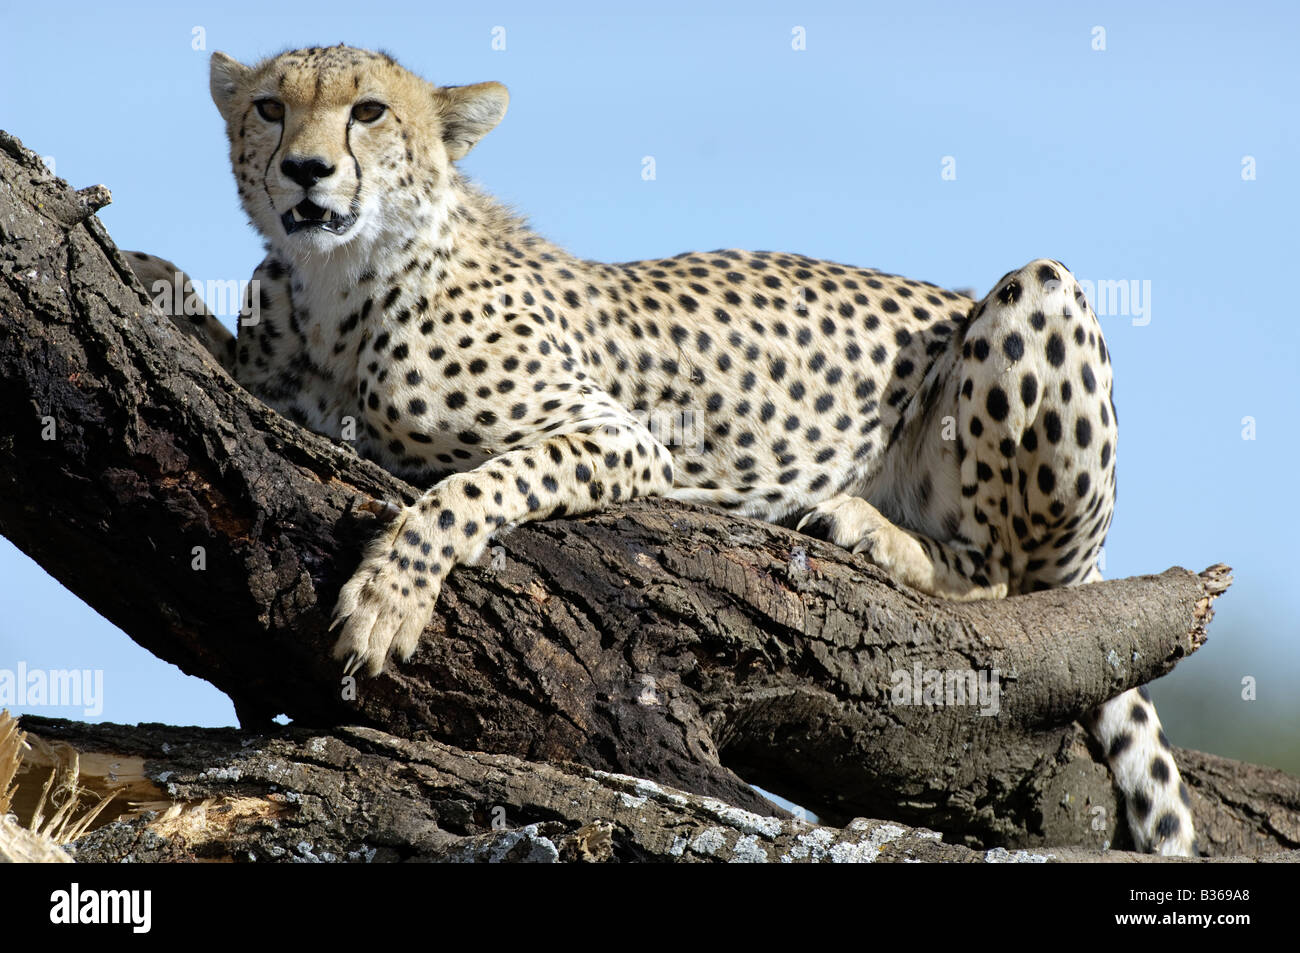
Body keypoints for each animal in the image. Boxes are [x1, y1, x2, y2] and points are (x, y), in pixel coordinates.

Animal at [125, 44, 1198, 856]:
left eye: (370, 111)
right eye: (270, 108)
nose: (305, 170)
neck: (338, 289)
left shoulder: (625, 440)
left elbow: (471, 488)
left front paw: (389, 598)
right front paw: (148, 272)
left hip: (1042, 294)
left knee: (1009, 579)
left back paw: (872, 529)